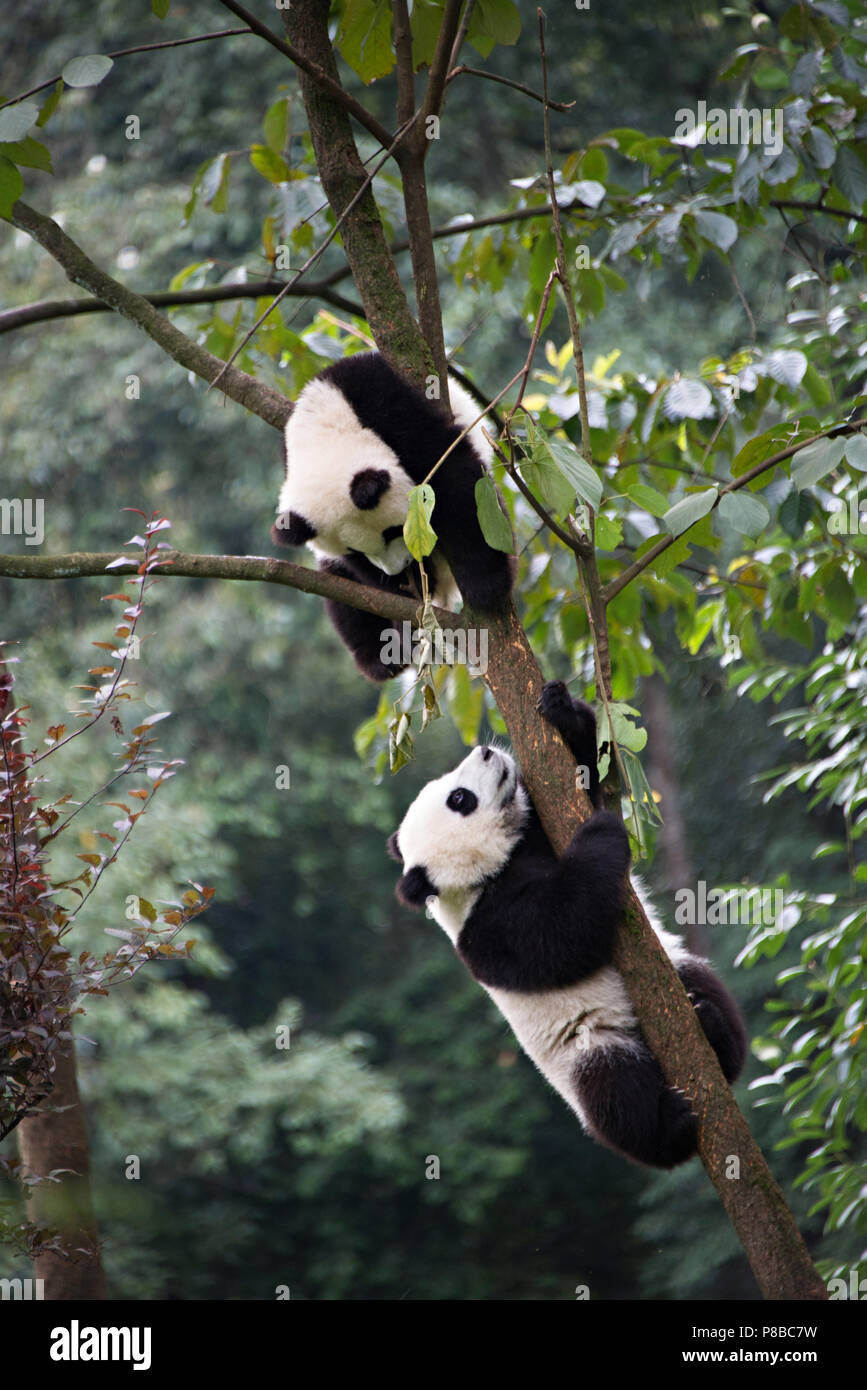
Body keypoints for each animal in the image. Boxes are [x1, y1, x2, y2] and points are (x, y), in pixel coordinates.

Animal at [271, 352, 515, 682]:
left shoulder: (389, 404)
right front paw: (404, 600)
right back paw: (382, 658)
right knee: (343, 598)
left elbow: (452, 479)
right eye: (357, 552)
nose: (401, 568)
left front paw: (487, 585)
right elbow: (355, 577)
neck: (325, 424)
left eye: (393, 531)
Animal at [387, 680, 747, 1168]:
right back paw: (670, 1127)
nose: (485, 751)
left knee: (704, 988)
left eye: (446, 786)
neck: (494, 866)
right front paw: (599, 836)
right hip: (584, 1049)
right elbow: (559, 937)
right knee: (614, 1094)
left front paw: (561, 710)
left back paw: (712, 1028)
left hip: (677, 965)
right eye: (458, 798)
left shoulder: (537, 830)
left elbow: (588, 775)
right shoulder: (487, 929)